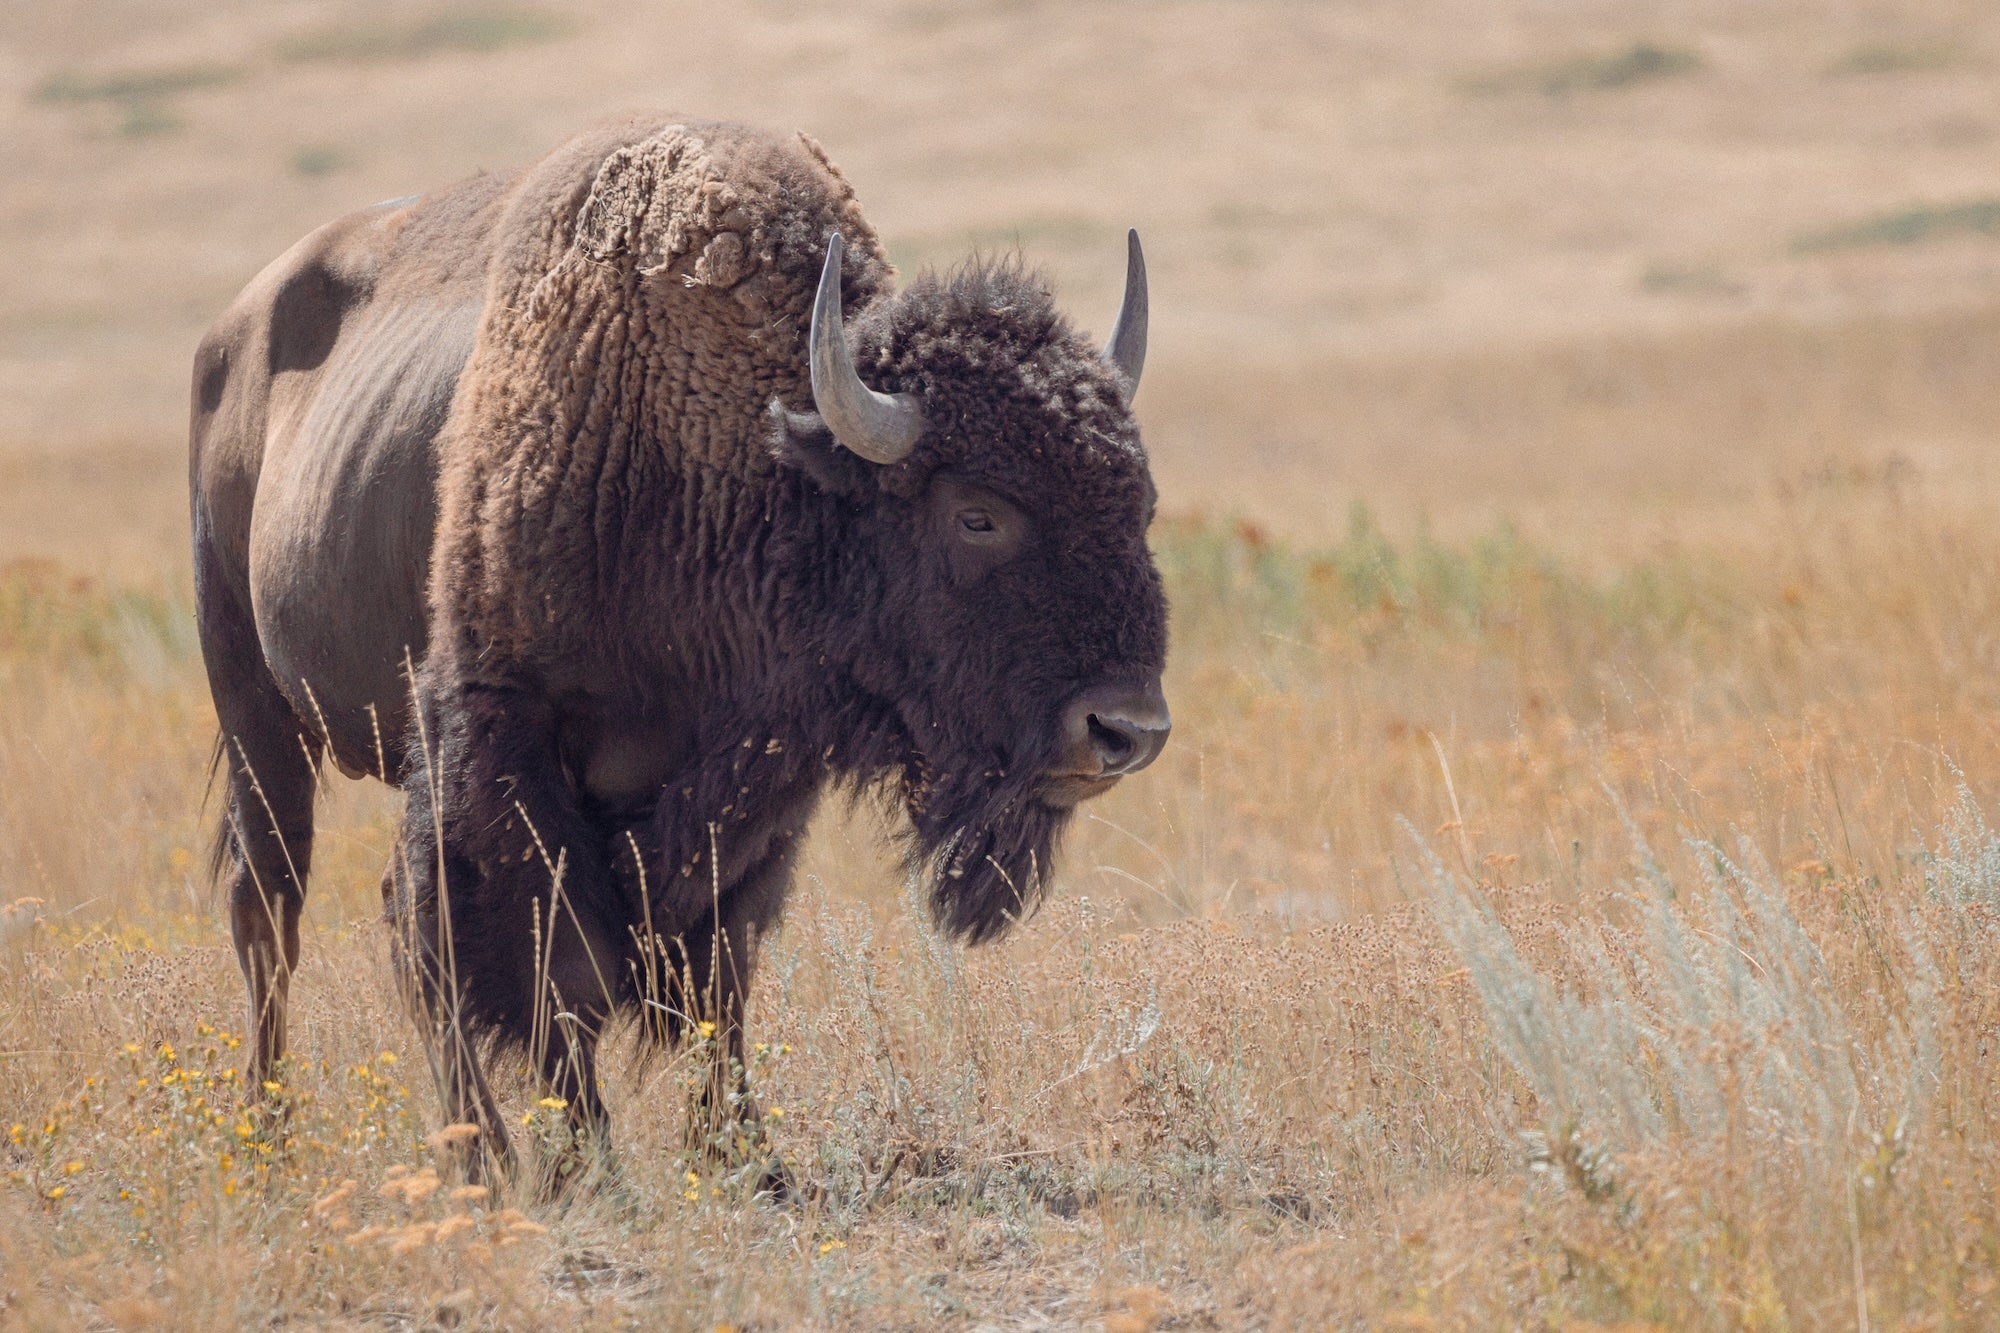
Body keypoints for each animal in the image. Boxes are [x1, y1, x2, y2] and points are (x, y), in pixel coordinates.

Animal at [190, 115, 1170, 1176]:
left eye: (1139, 503)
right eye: (977, 514)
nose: (1126, 729)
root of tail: (230, 333)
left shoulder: (760, 784)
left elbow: (719, 965)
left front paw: (740, 1150)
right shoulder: (512, 744)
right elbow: (557, 955)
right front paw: (589, 1162)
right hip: (253, 704)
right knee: (281, 911)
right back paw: (300, 1135)